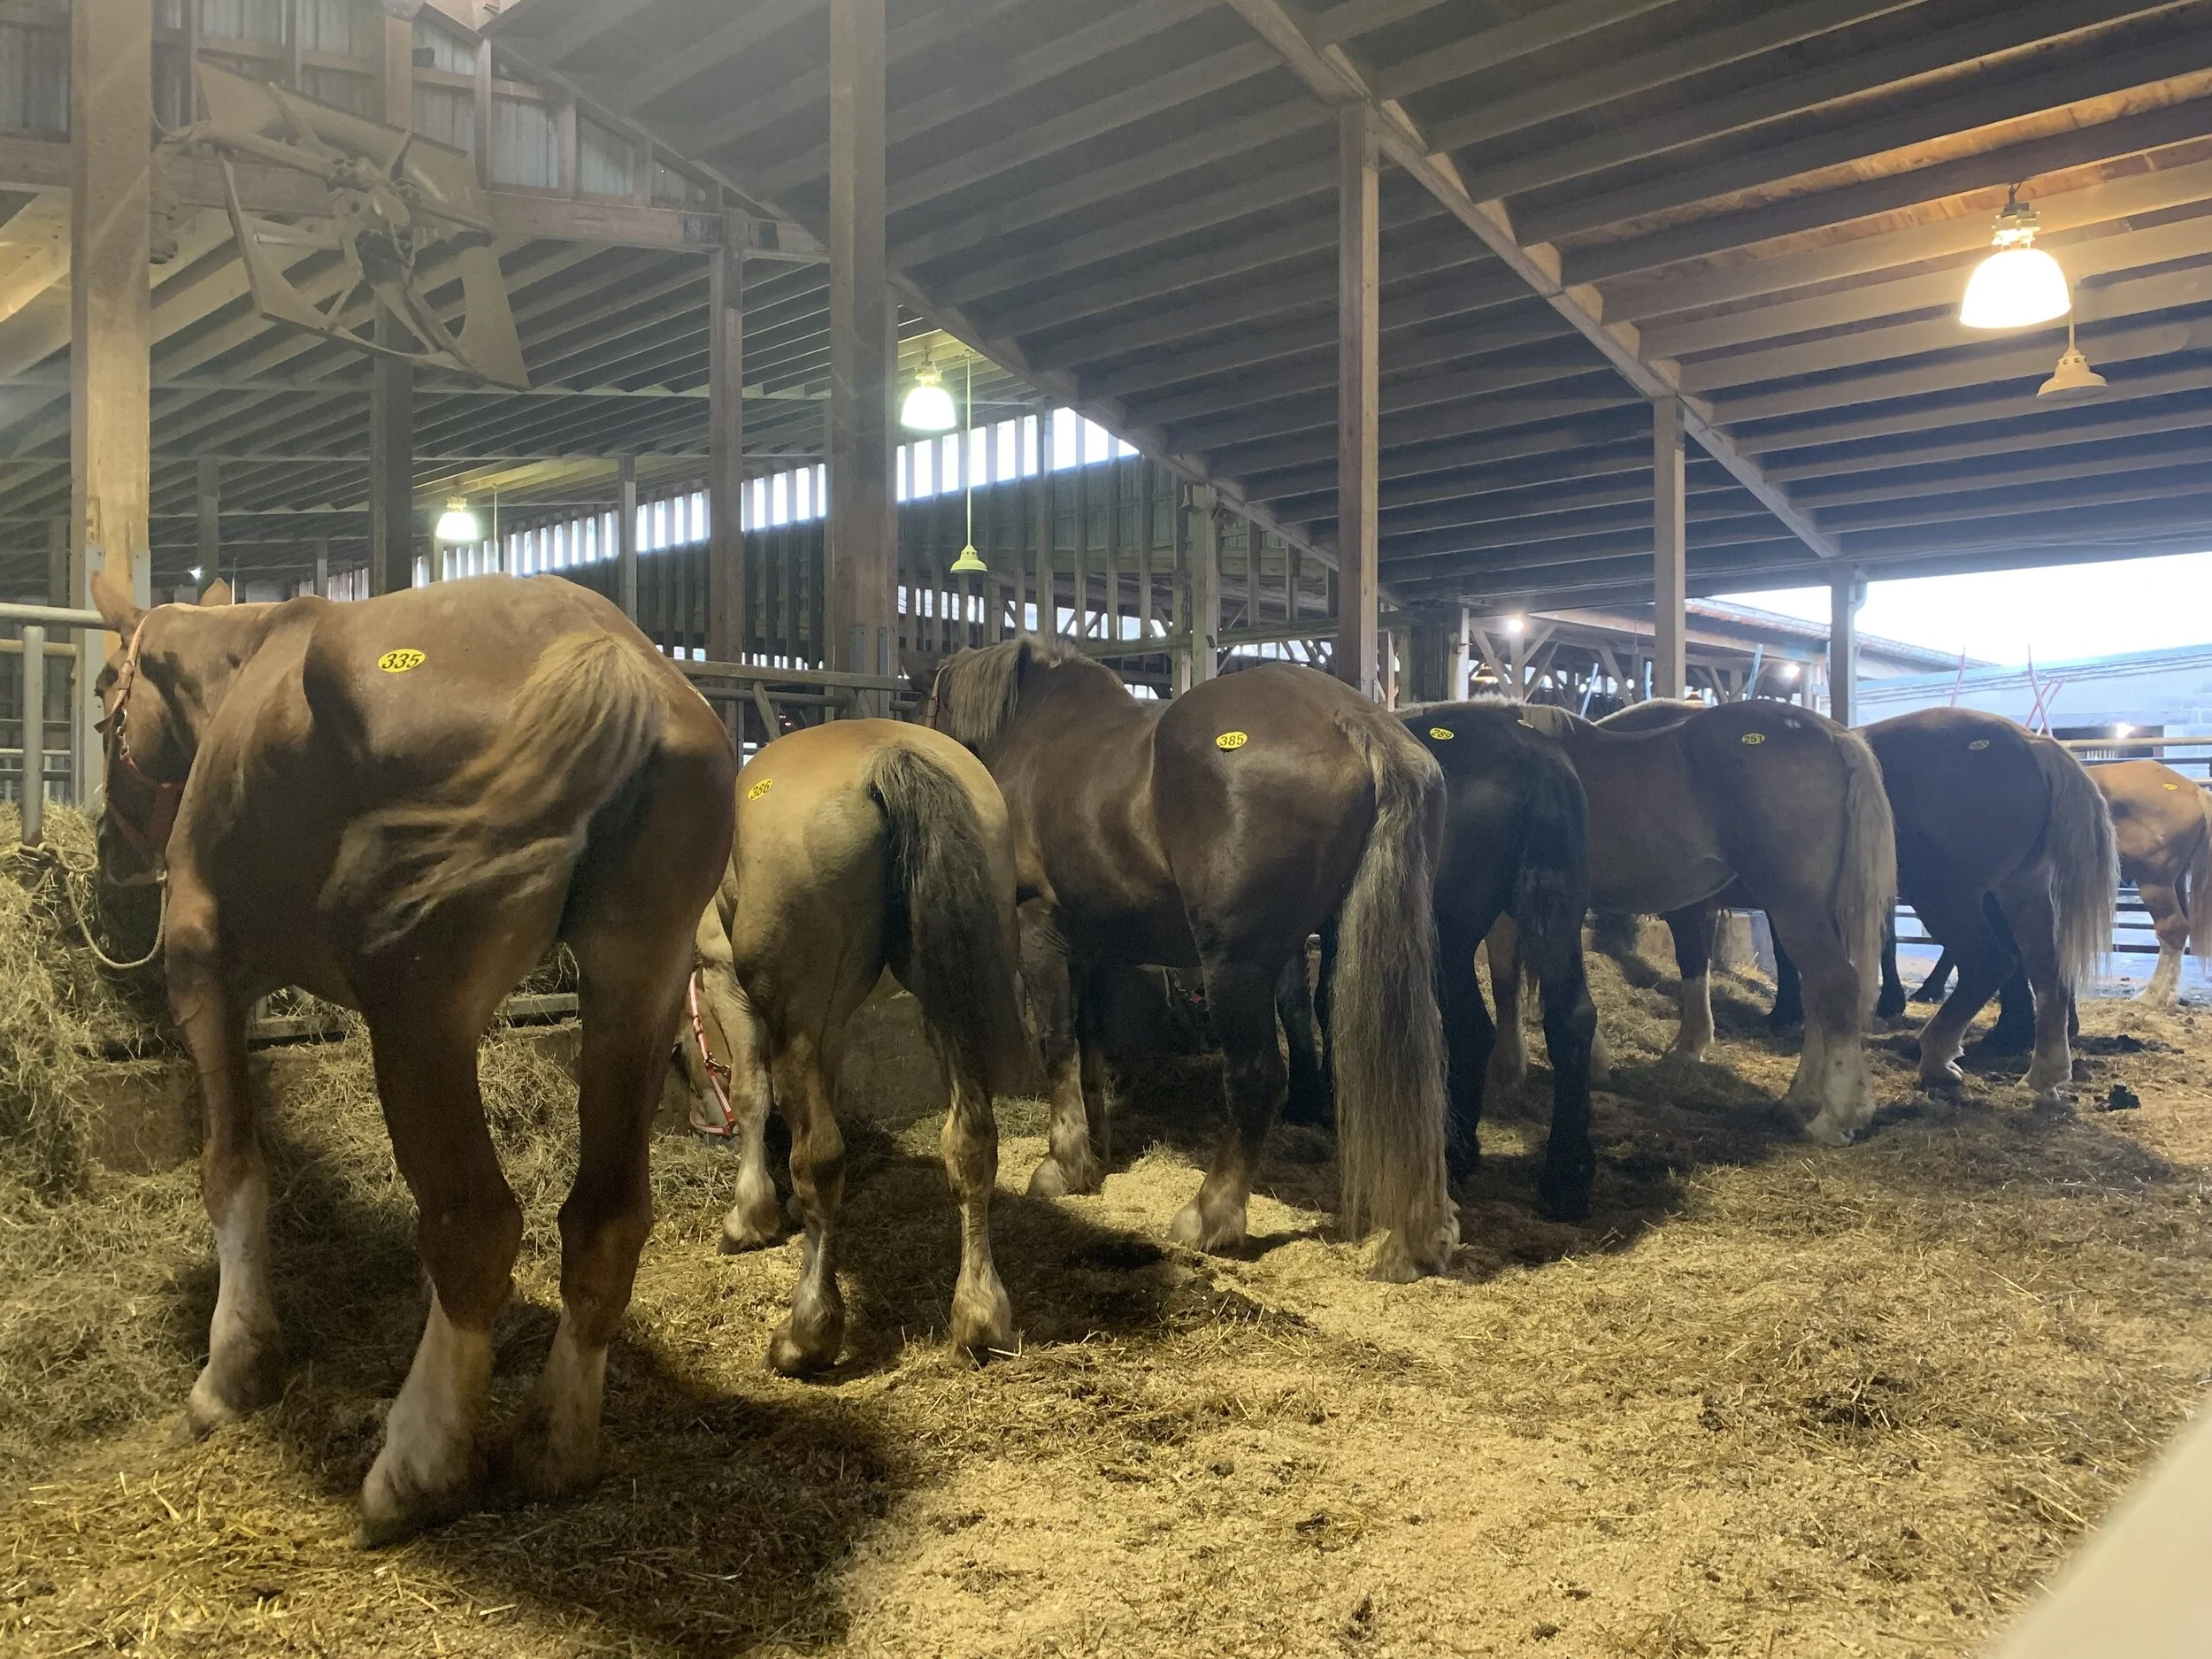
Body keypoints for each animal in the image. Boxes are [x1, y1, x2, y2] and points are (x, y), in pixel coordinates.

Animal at [85, 568, 732, 1544]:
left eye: (102, 696)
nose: (110, 851)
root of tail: (610, 657)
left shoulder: (203, 969)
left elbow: (231, 1169)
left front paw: (230, 1373)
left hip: (421, 1018)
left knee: (475, 1224)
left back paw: (415, 1467)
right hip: (636, 984)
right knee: (605, 1220)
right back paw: (554, 1448)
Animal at [685, 720, 1029, 1375]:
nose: (696, 1121)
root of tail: (889, 756)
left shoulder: (728, 982)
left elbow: (753, 1095)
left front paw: (749, 1218)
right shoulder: (835, 1023)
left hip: (802, 1013)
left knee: (818, 1156)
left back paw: (807, 1333)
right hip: (948, 998)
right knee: (971, 1143)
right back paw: (979, 1316)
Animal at [925, 637, 1457, 1282]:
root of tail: (1354, 720)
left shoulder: (1040, 928)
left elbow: (1057, 1043)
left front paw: (1062, 1166)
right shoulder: (1095, 944)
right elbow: (1092, 1045)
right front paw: (1096, 1151)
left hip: (1235, 963)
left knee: (1256, 1079)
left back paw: (1210, 1216)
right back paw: (1420, 1236)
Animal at [1501, 698, 1896, 1145]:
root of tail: (1834, 734)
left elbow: (1507, 978)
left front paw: (1509, 1067)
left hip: (1796, 907)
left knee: (1836, 988)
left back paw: (1834, 1117)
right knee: (1818, 997)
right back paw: (1801, 1100)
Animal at [1860, 708, 2114, 1104]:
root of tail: (2032, 744)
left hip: (1945, 895)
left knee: (1988, 963)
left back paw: (1938, 1059)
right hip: (2022, 889)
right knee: (2046, 971)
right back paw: (2044, 1074)